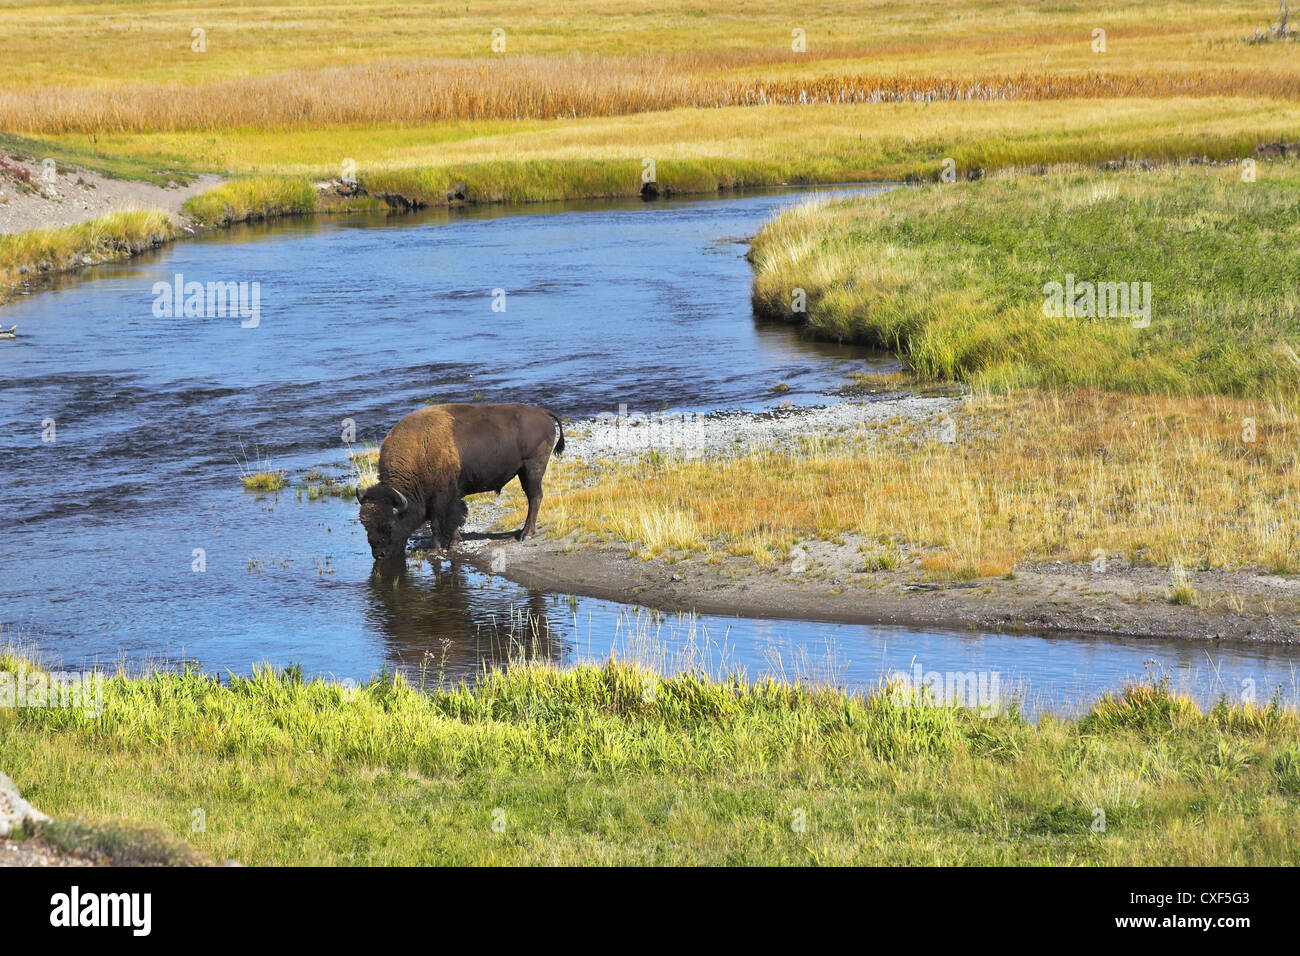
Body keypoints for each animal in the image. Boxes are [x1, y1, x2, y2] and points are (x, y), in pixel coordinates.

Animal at [356, 403, 564, 561]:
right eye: (365, 525)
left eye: (390, 525)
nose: (379, 555)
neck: (419, 452)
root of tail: (542, 413)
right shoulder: (451, 496)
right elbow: (453, 520)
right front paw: (454, 542)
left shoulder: (440, 498)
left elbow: (438, 523)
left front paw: (436, 548)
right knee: (534, 497)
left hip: (531, 468)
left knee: (534, 497)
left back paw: (525, 534)